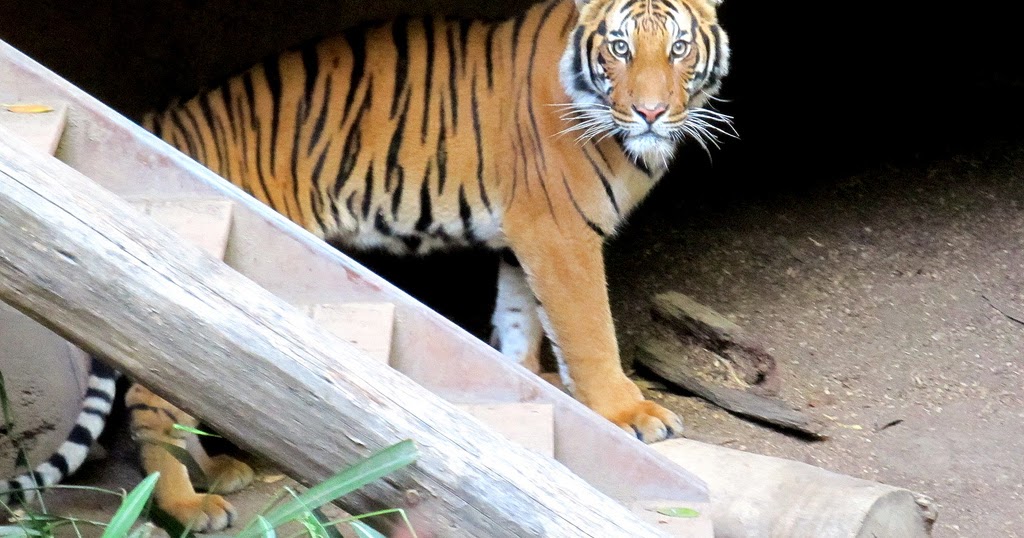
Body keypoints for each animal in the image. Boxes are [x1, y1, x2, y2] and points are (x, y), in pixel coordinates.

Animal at [2, 0, 730, 531]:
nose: (651, 111)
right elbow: (588, 329)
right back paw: (188, 502)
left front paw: (531, 392)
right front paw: (627, 413)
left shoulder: (525, 236)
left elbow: (520, 320)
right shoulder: (558, 232)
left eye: (679, 48)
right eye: (619, 48)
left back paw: (218, 473)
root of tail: (153, 121)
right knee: (151, 399)